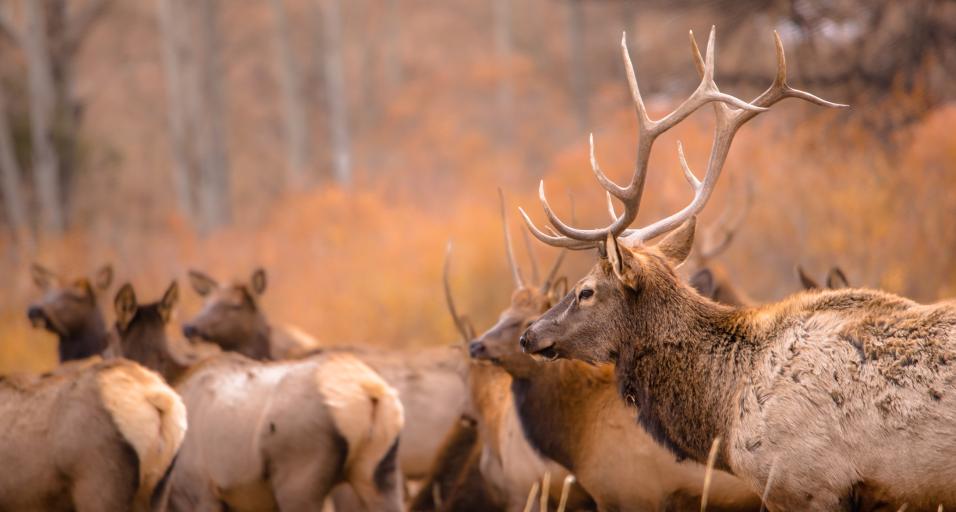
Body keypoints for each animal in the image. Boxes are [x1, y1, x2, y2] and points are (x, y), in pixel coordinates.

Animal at [110, 281, 406, 512]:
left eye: (111, 334)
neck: (175, 377)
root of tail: (369, 393)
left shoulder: (196, 491)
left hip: (299, 481)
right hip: (381, 474)